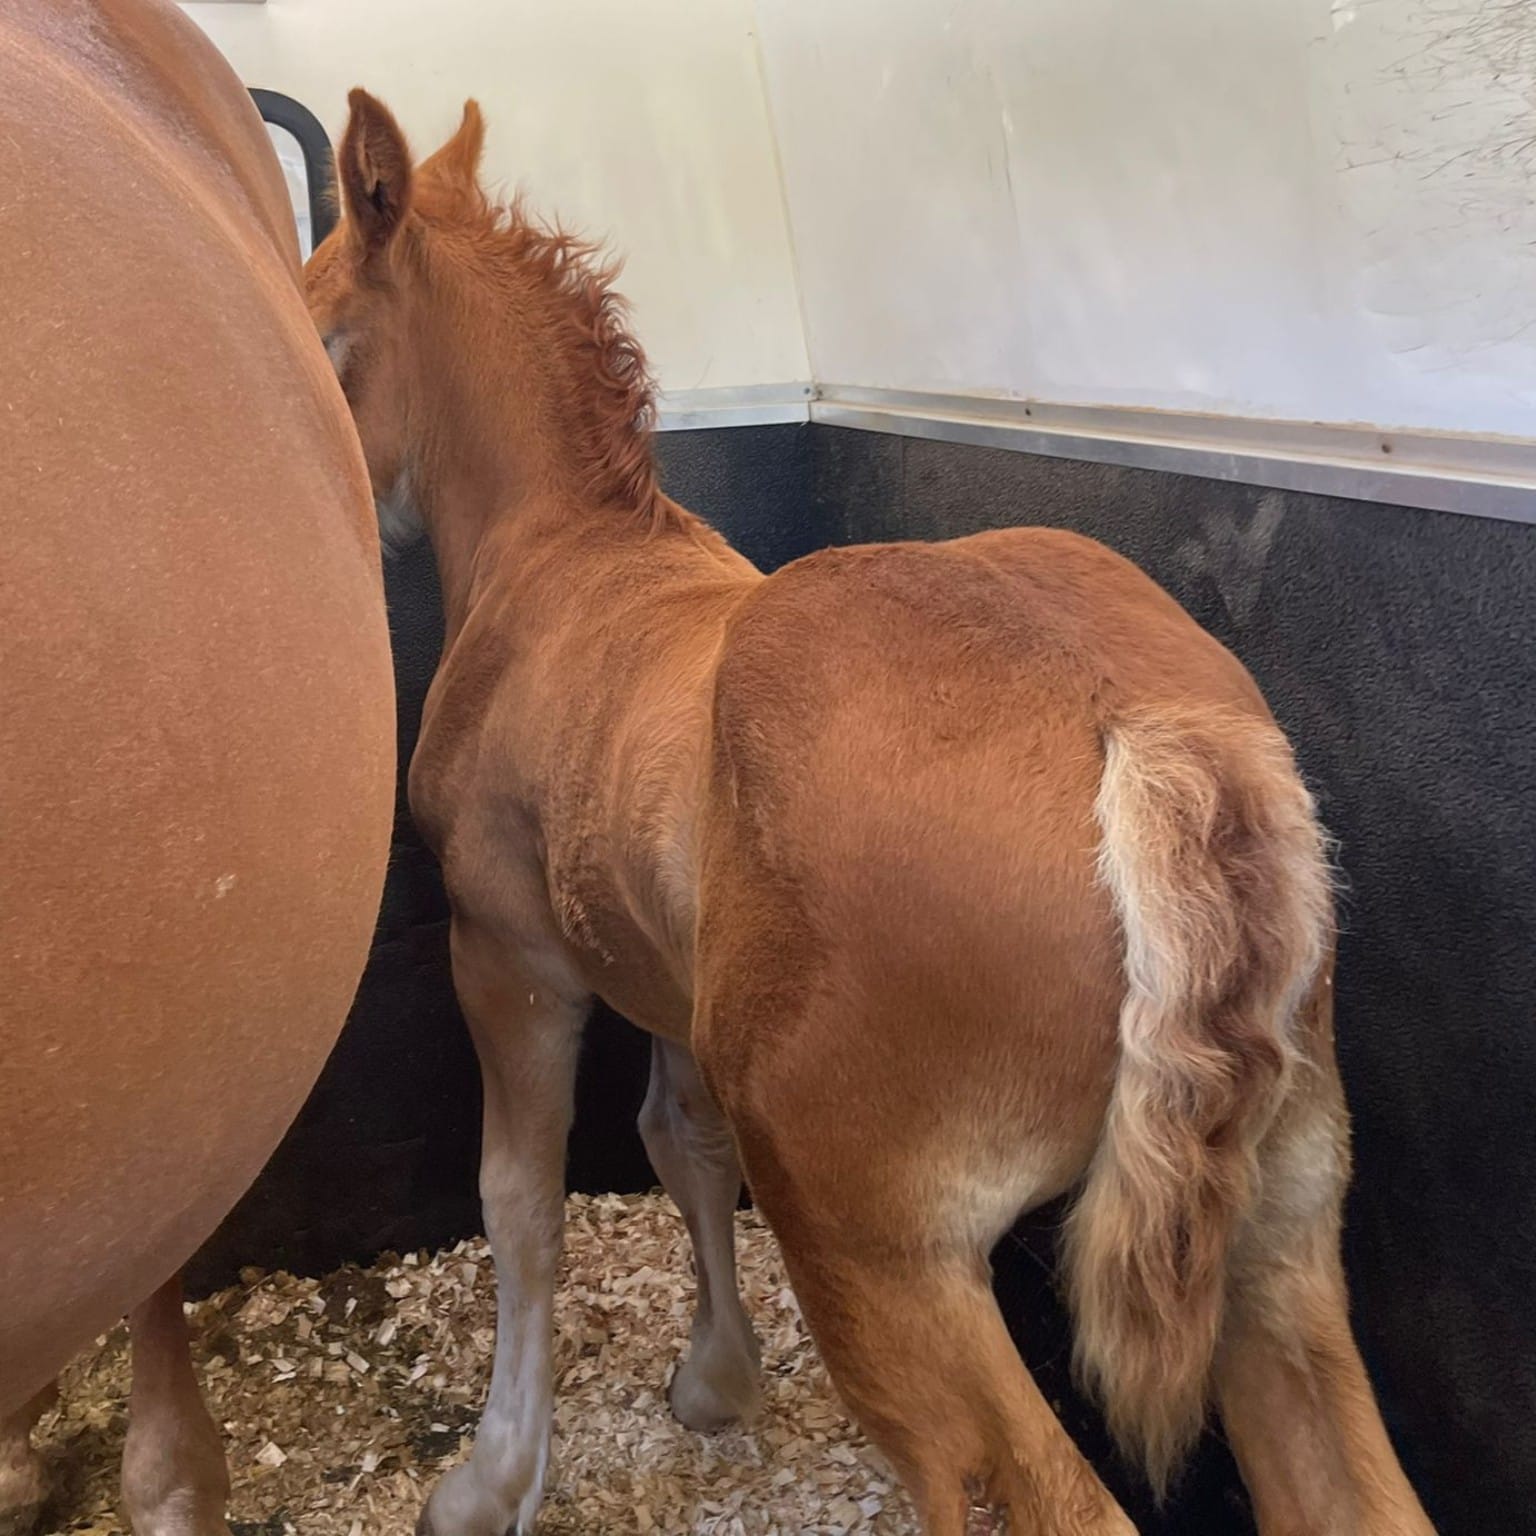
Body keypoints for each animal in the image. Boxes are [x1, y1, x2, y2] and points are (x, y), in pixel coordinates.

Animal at [306, 90, 1436, 1536]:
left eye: (317, 323)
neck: (558, 563)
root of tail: (1135, 729)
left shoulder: (508, 956)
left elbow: (522, 1204)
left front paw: (494, 1477)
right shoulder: (665, 976)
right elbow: (680, 1143)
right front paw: (717, 1380)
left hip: (889, 1260)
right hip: (1279, 1234)